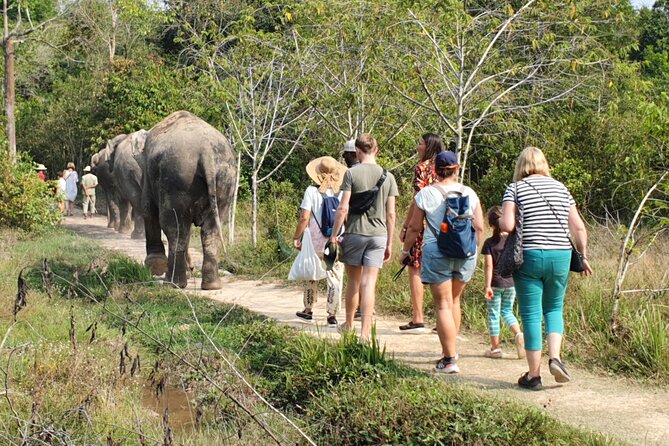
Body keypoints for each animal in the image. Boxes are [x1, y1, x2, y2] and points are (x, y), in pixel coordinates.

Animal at [142, 111, 236, 290]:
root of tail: (206, 151)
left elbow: (149, 209)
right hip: (225, 179)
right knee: (210, 230)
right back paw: (212, 286)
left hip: (177, 178)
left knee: (175, 228)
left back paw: (173, 284)